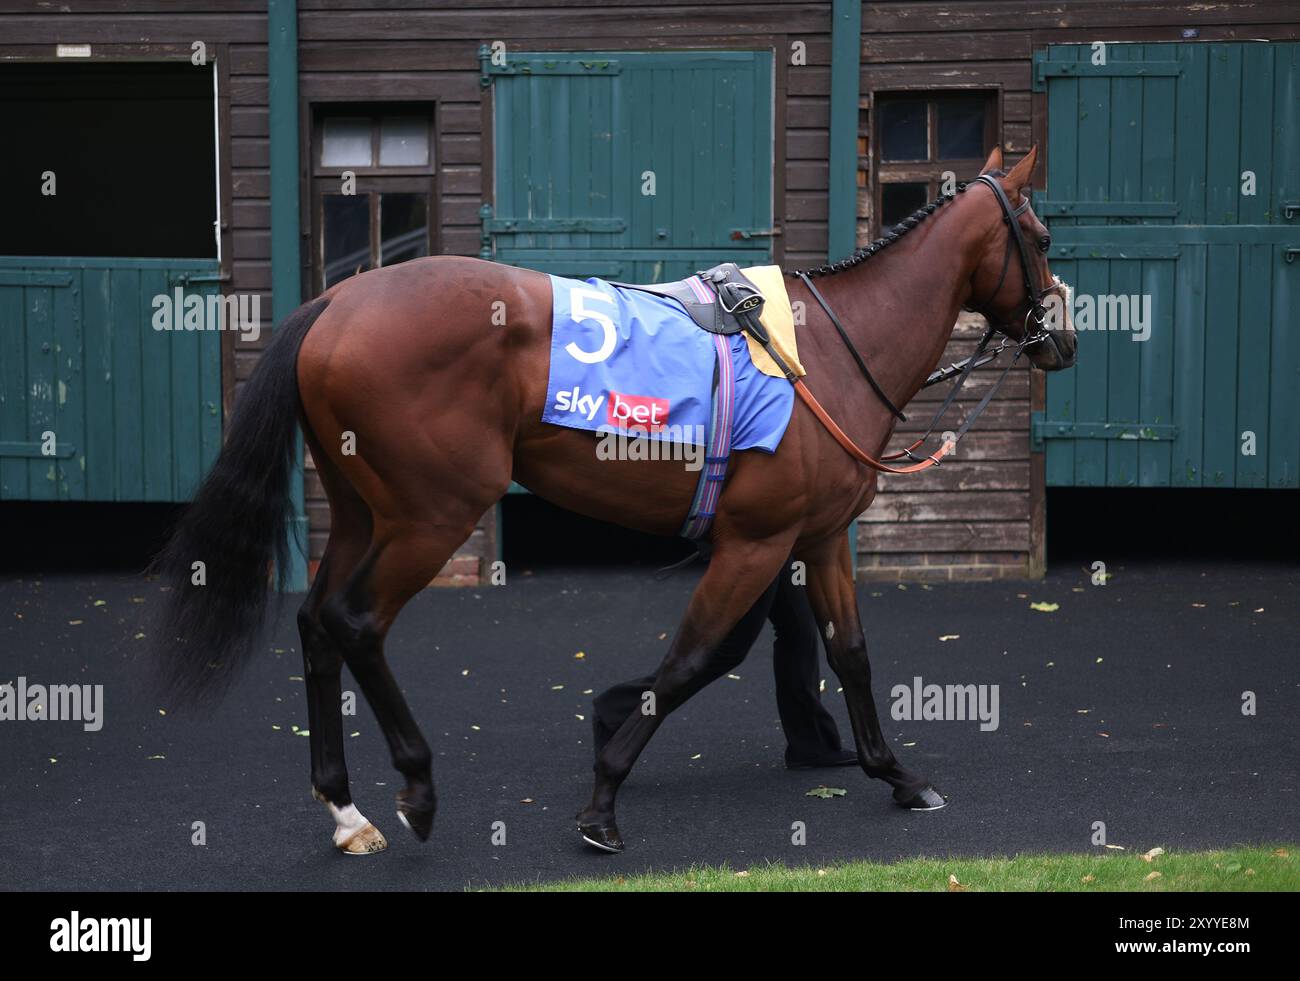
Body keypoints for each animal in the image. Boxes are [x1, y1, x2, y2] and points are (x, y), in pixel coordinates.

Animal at [152, 145, 1076, 855]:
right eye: (1038, 235)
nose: (1062, 337)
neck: (828, 355)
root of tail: (338, 297)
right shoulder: (754, 541)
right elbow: (691, 659)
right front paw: (601, 801)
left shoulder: (817, 538)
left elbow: (849, 653)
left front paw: (898, 775)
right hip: (433, 512)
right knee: (355, 620)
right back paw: (416, 785)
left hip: (360, 507)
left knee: (317, 622)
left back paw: (348, 811)